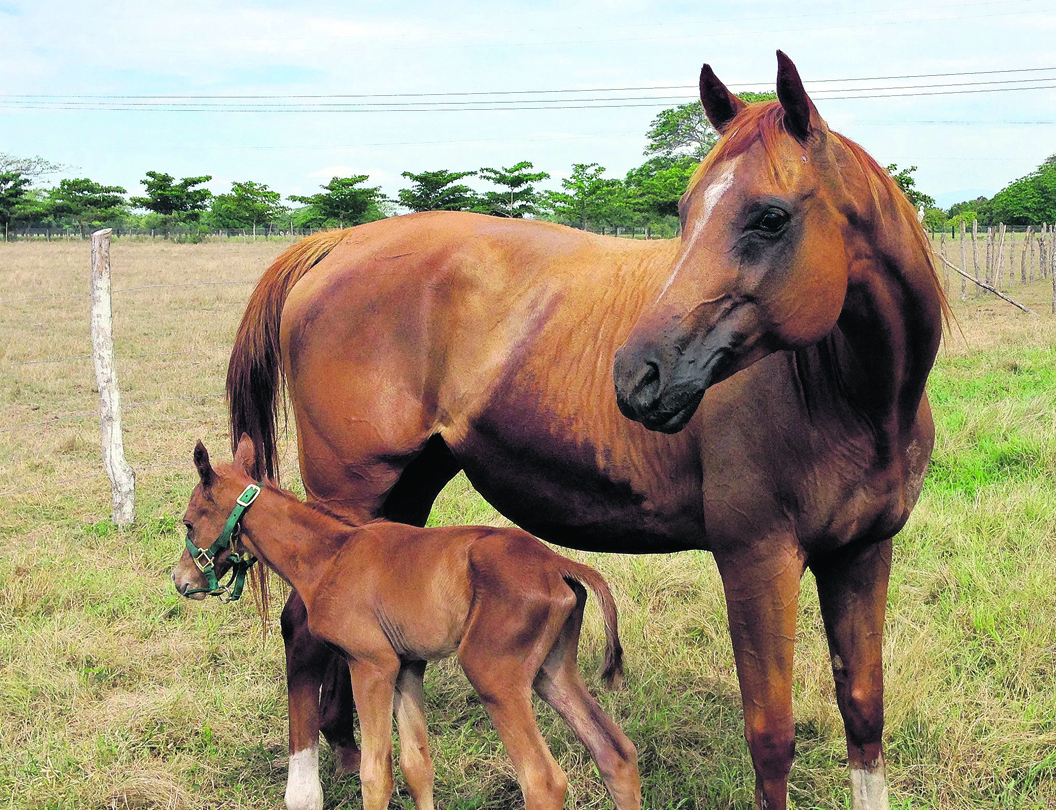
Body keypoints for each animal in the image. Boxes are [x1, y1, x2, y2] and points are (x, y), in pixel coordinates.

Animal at [174, 436, 641, 810]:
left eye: (189, 521)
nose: (181, 580)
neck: (330, 557)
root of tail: (557, 564)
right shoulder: (408, 667)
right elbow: (418, 766)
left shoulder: (372, 665)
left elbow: (375, 775)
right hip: (552, 671)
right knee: (616, 754)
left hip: (493, 673)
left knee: (543, 782)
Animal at [226, 51, 947, 810]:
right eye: (686, 212)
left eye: (770, 218)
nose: (637, 375)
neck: (856, 402)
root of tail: (338, 243)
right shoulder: (759, 561)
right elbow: (772, 736)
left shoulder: (861, 555)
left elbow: (863, 713)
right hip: (349, 495)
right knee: (301, 629)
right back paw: (306, 781)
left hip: (401, 498)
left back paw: (343, 747)